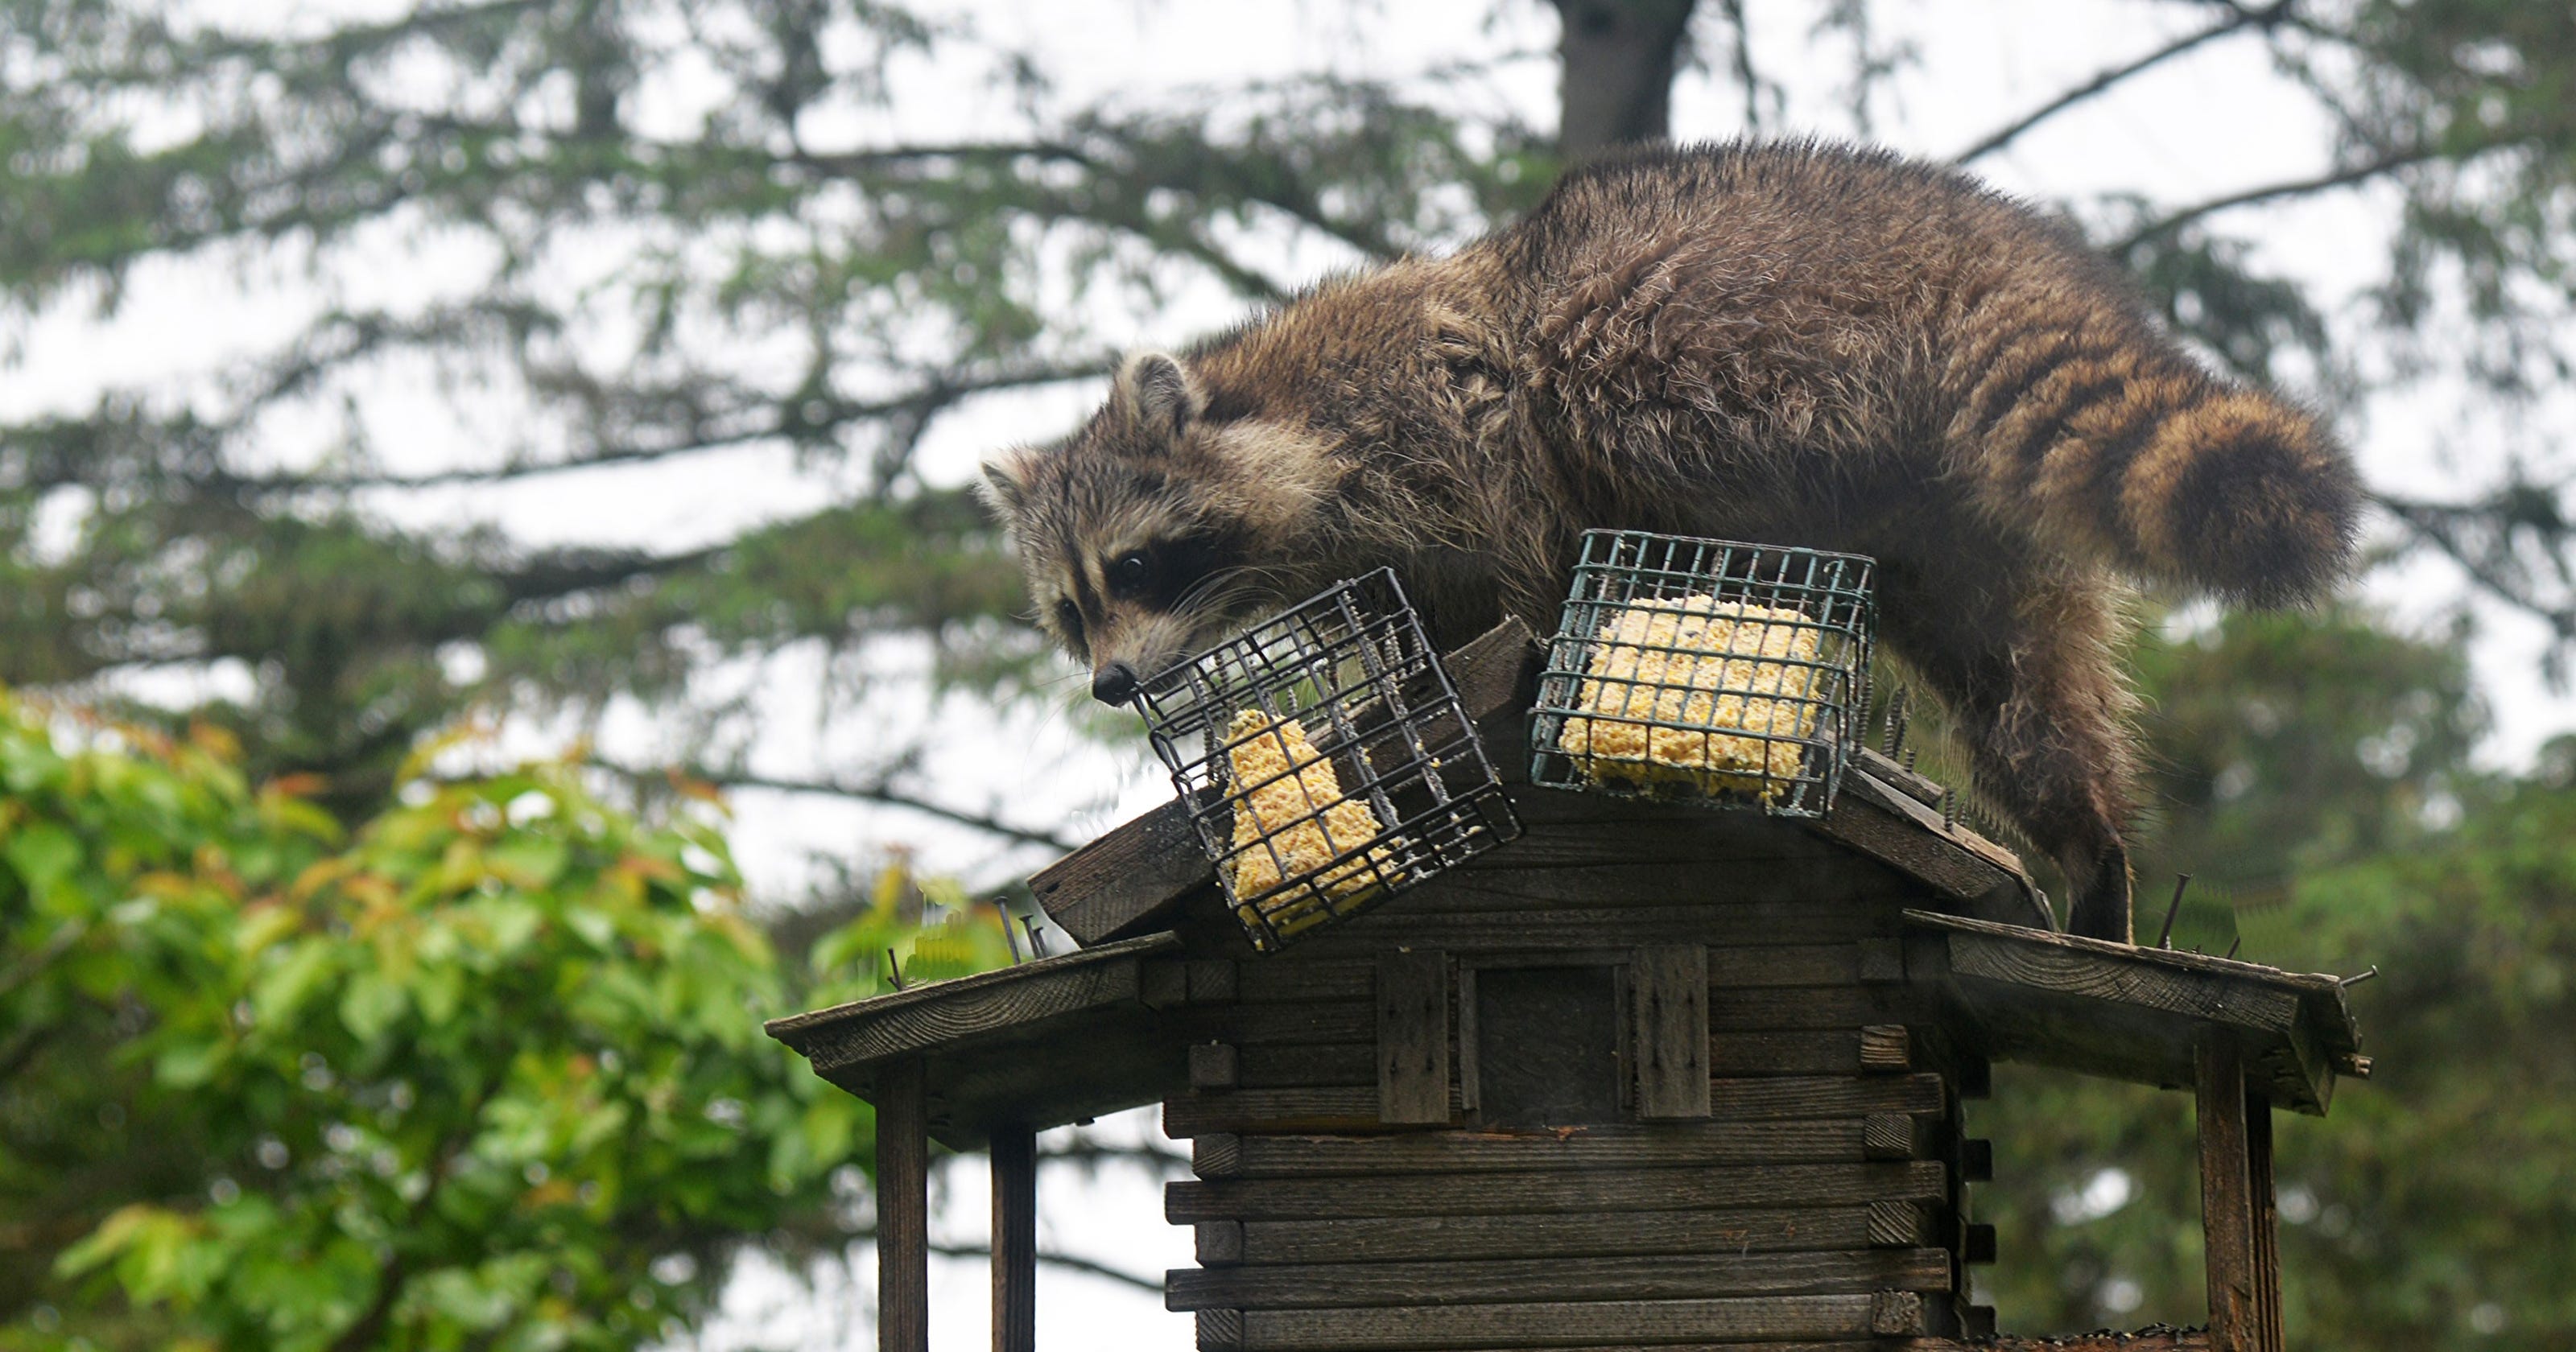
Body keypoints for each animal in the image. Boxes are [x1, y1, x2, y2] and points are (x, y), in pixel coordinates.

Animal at [977, 140, 2360, 942]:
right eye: (1070, 610)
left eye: (1135, 567)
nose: (1109, 684)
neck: (1272, 404)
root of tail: (1974, 239)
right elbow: (1422, 611)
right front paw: (1403, 676)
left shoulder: (1443, 426)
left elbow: (1515, 553)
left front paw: (1503, 656)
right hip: (1968, 521)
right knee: (2024, 685)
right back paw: (2090, 845)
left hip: (1730, 320)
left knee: (1597, 372)